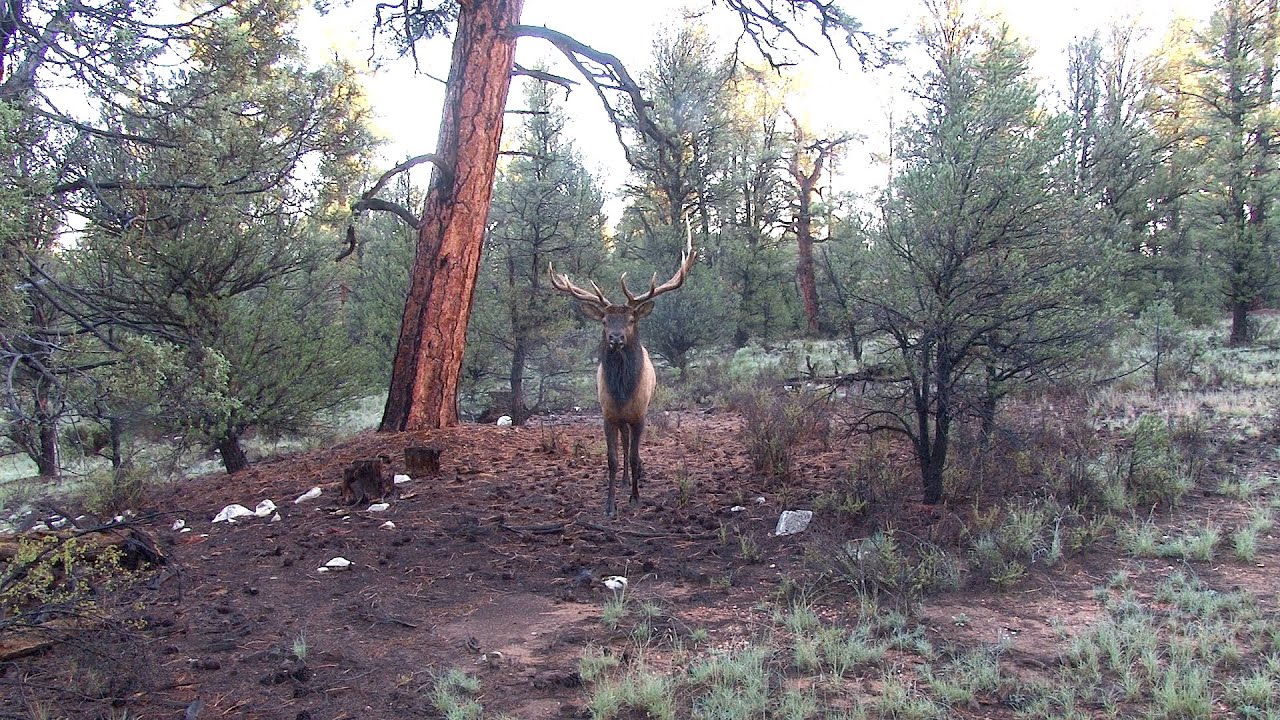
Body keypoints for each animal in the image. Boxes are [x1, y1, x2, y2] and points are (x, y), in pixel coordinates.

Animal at [549, 232, 697, 516]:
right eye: (605, 321)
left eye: (630, 320)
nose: (615, 338)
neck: (622, 392)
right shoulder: (608, 416)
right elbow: (613, 459)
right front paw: (610, 505)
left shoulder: (639, 416)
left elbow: (634, 455)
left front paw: (635, 498)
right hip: (620, 420)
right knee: (625, 443)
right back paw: (626, 480)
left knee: (632, 447)